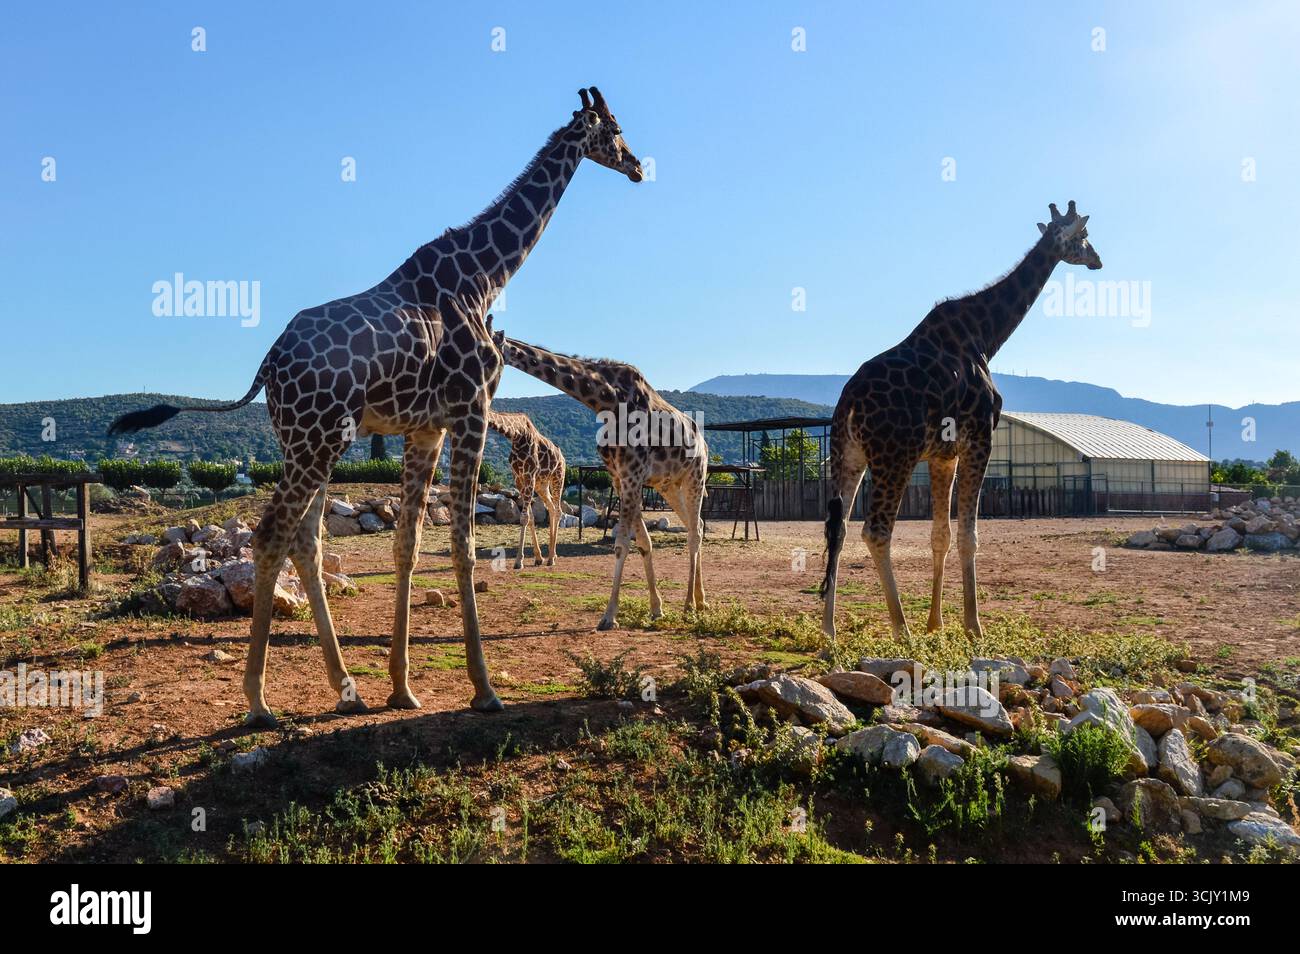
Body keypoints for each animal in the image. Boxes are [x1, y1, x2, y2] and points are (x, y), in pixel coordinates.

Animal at [487, 408, 566, 569]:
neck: (516, 435)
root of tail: (562, 457)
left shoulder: (529, 475)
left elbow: (524, 517)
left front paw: (519, 561)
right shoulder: (518, 477)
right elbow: (530, 517)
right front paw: (538, 558)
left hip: (557, 478)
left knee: (558, 510)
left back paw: (551, 558)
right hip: (542, 485)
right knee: (551, 508)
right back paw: (552, 555)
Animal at [820, 202, 1102, 642]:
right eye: (1084, 237)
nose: (1098, 261)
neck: (986, 335)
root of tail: (847, 403)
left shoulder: (942, 454)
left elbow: (942, 535)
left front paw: (936, 623)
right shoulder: (979, 438)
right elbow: (969, 535)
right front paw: (973, 626)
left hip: (847, 456)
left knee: (839, 528)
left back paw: (829, 631)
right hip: (894, 456)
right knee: (876, 530)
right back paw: (901, 630)